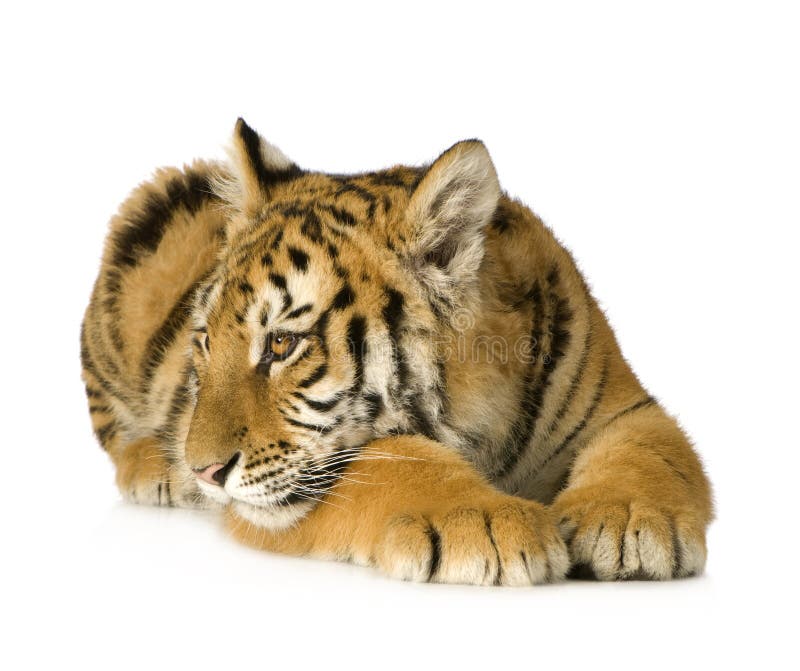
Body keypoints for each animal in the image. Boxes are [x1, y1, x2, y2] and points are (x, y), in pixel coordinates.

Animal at [81, 118, 713, 585]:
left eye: (282, 342)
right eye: (205, 341)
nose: (205, 473)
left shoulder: (624, 405)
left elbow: (651, 451)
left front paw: (630, 521)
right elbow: (397, 461)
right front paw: (486, 520)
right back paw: (153, 467)